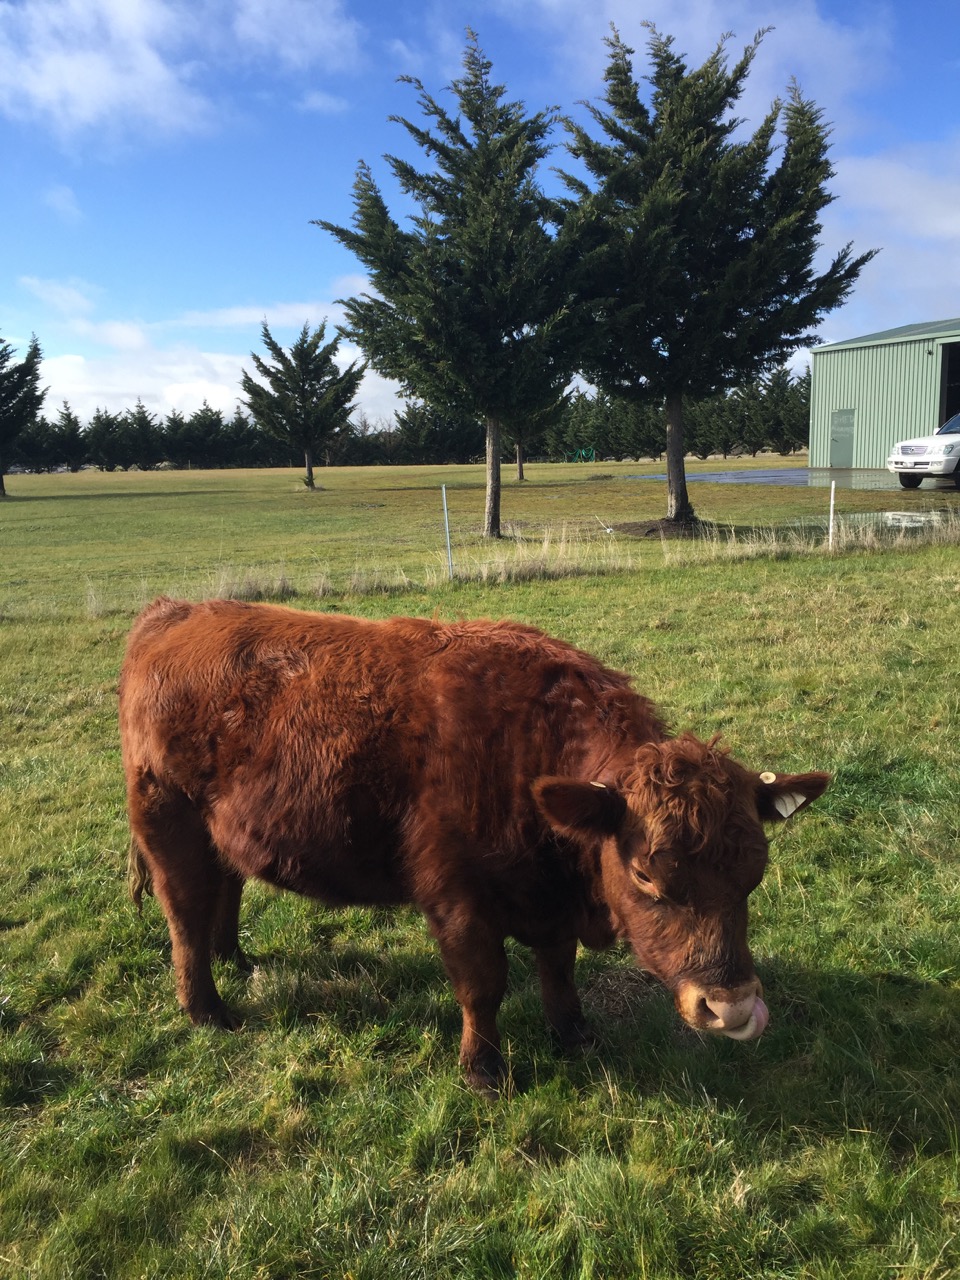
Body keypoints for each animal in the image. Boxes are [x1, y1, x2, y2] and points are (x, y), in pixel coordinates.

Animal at [119, 597, 829, 1093]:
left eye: (753, 874)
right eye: (648, 876)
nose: (733, 1009)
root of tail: (174, 613)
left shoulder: (550, 903)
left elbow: (557, 968)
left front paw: (574, 1033)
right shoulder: (457, 902)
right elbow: (482, 986)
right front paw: (484, 1071)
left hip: (221, 831)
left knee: (227, 886)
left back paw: (235, 958)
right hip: (168, 826)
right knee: (184, 914)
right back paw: (208, 1010)